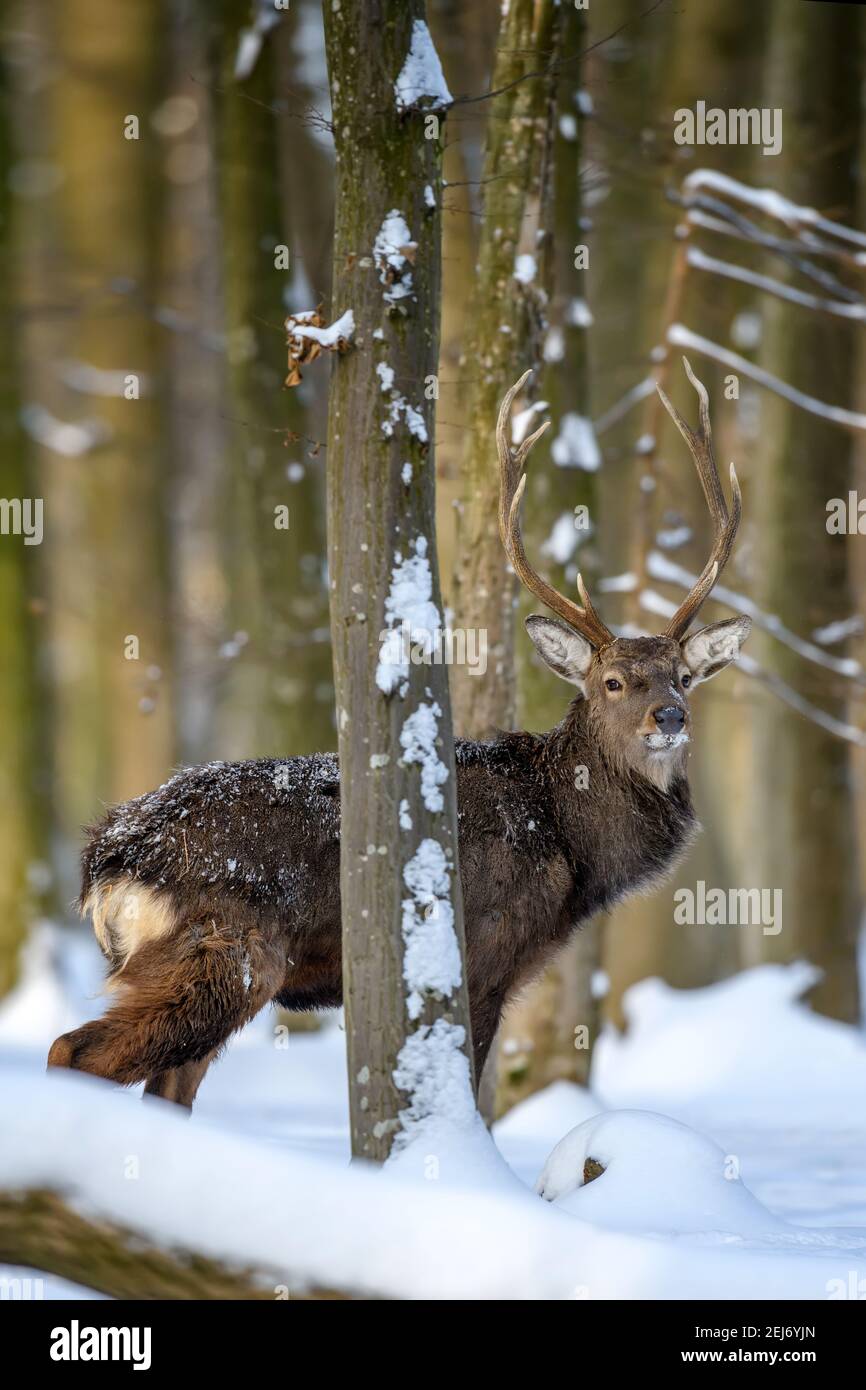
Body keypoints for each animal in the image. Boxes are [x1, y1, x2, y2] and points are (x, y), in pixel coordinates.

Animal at [48, 358, 750, 1110]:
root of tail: (105, 858)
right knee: (75, 1049)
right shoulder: (479, 955)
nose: (670, 717)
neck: (569, 846)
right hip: (226, 950)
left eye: (683, 676)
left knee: (164, 1085)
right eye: (613, 681)